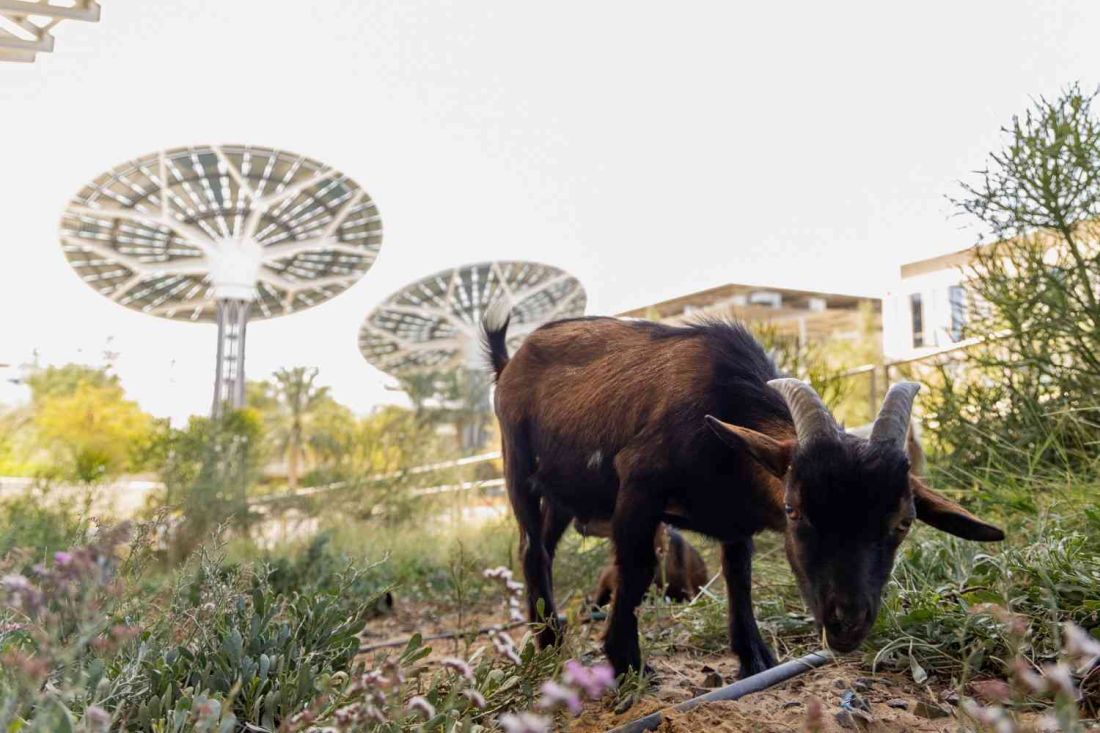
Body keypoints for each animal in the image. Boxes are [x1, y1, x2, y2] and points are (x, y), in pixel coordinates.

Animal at [484, 312, 1004, 679]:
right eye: (794, 511)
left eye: (903, 522)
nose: (846, 624)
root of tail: (509, 362)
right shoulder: (638, 485)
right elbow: (636, 568)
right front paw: (627, 662)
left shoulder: (735, 524)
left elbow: (739, 577)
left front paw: (755, 658)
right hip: (517, 464)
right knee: (531, 548)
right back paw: (549, 640)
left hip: (562, 496)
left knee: (543, 548)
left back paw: (549, 630)